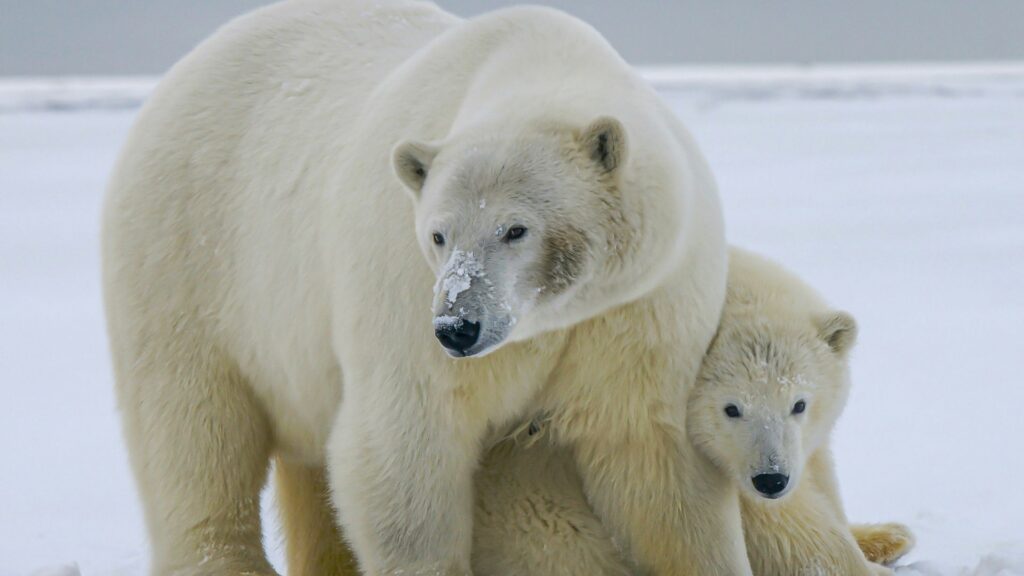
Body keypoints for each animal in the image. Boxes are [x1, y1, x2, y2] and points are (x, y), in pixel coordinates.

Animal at [101, 1, 745, 575]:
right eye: (438, 234)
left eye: (516, 228)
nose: (458, 327)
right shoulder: (403, 291)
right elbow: (406, 448)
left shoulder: (639, 307)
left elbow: (654, 462)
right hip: (186, 256)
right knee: (193, 431)